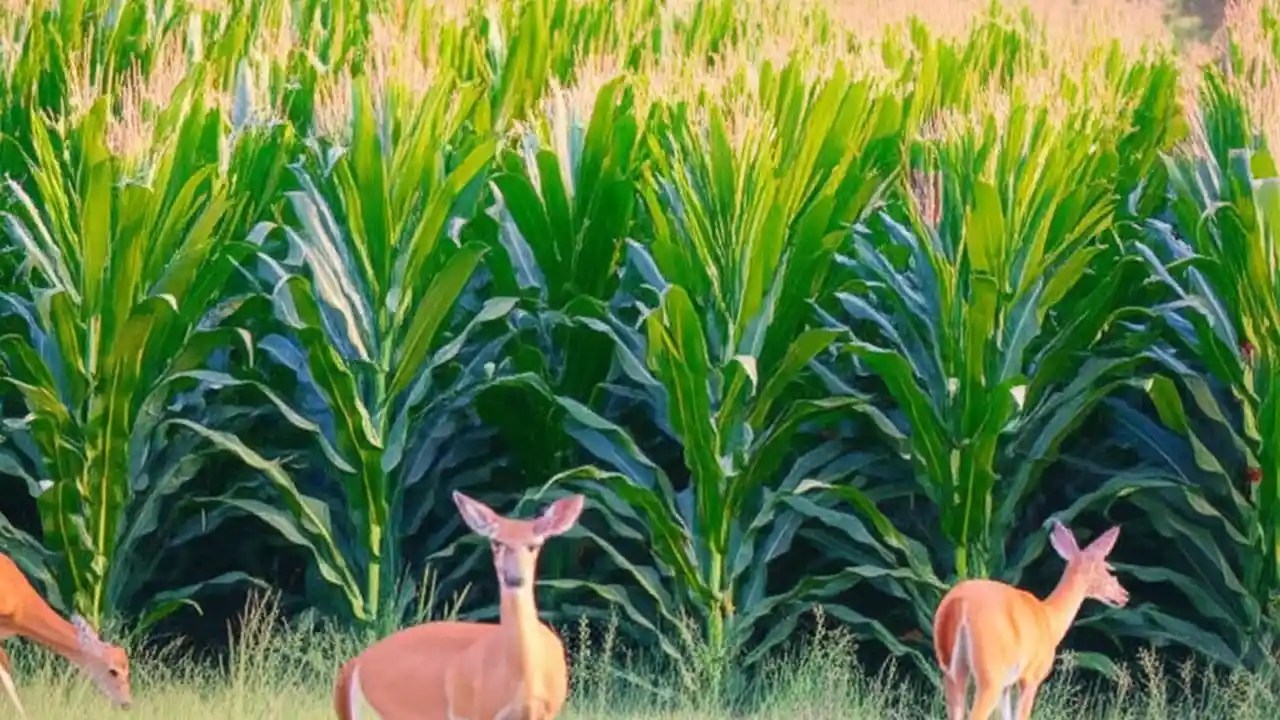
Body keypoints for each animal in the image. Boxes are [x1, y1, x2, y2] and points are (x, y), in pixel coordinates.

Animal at [333, 490, 585, 720]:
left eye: (534, 545)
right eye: (496, 543)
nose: (514, 578)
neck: (523, 679)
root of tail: (355, 664)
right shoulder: (473, 710)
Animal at [931, 520, 1128, 720]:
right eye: (1107, 569)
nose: (1124, 595)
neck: (1050, 619)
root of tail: (959, 603)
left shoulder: (1008, 684)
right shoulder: (1031, 675)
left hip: (951, 670)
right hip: (990, 672)